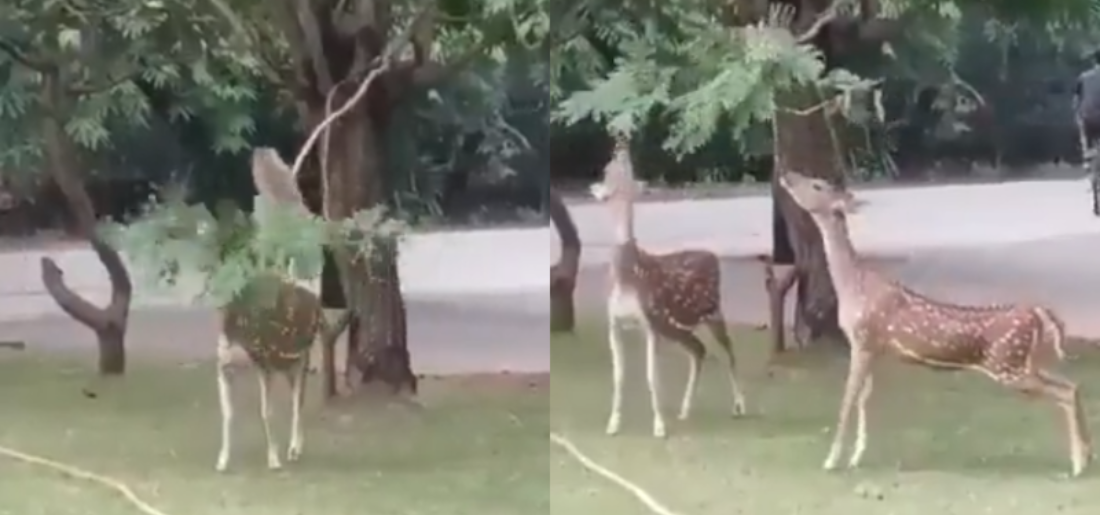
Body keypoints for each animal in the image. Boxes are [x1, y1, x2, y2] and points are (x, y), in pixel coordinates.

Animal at [213, 149, 351, 472]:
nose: (262, 153)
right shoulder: (227, 365)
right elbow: (230, 413)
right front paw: (223, 461)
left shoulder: (266, 363)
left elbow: (268, 411)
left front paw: (274, 460)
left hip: (294, 361)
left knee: (298, 400)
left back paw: (293, 450)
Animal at [590, 134, 747, 438]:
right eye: (609, 169)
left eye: (628, 169)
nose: (621, 143)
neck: (627, 276)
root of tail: (713, 256)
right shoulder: (614, 322)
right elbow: (619, 376)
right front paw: (613, 423)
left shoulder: (650, 321)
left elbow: (652, 376)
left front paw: (659, 426)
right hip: (676, 326)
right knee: (699, 350)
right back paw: (685, 410)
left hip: (712, 311)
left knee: (729, 351)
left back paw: (740, 406)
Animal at [777, 170, 1093, 476]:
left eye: (817, 185)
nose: (787, 175)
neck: (852, 286)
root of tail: (1036, 311)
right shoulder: (873, 347)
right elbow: (864, 399)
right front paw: (856, 457)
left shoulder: (862, 338)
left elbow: (847, 400)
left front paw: (831, 460)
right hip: (1026, 362)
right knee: (1073, 385)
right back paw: (1087, 456)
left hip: (1007, 365)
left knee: (1065, 391)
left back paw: (1078, 465)